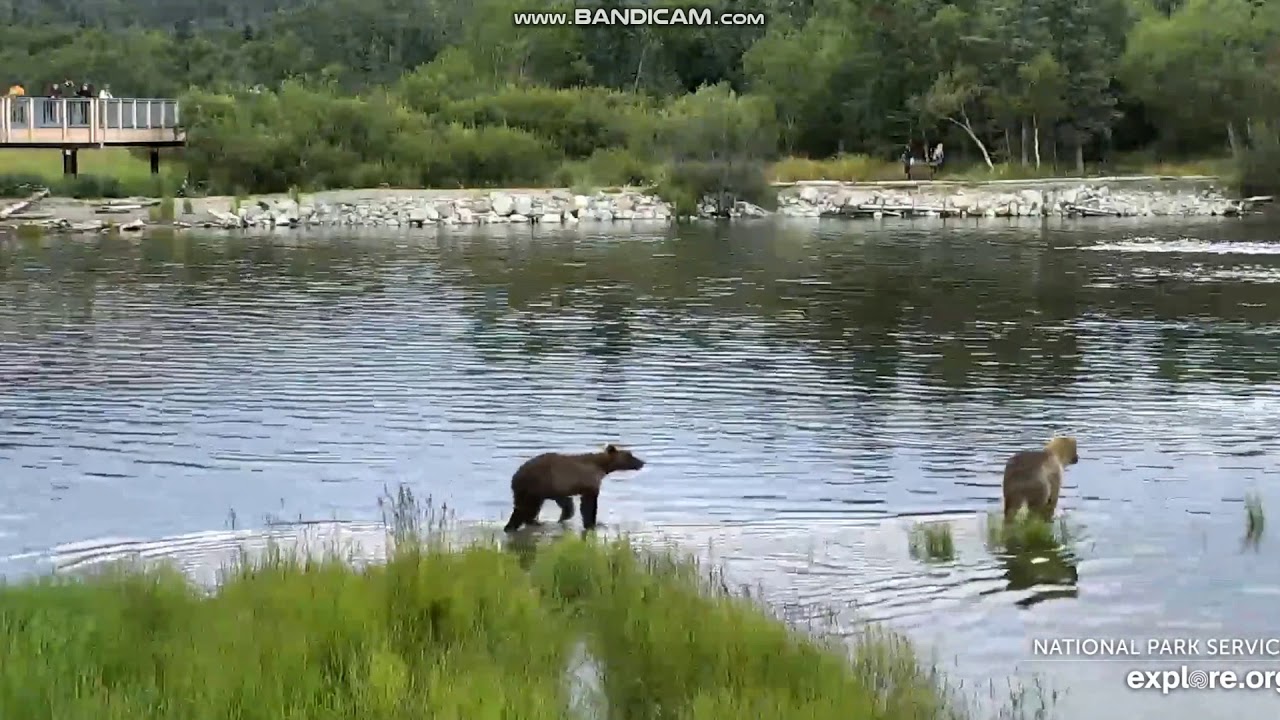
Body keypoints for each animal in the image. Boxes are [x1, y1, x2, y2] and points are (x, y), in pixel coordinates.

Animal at [503, 444, 645, 533]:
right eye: (630, 455)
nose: (642, 462)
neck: (602, 466)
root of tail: (516, 475)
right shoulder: (588, 481)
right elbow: (589, 504)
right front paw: (592, 524)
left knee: (526, 507)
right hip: (536, 484)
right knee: (526, 508)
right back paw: (515, 526)